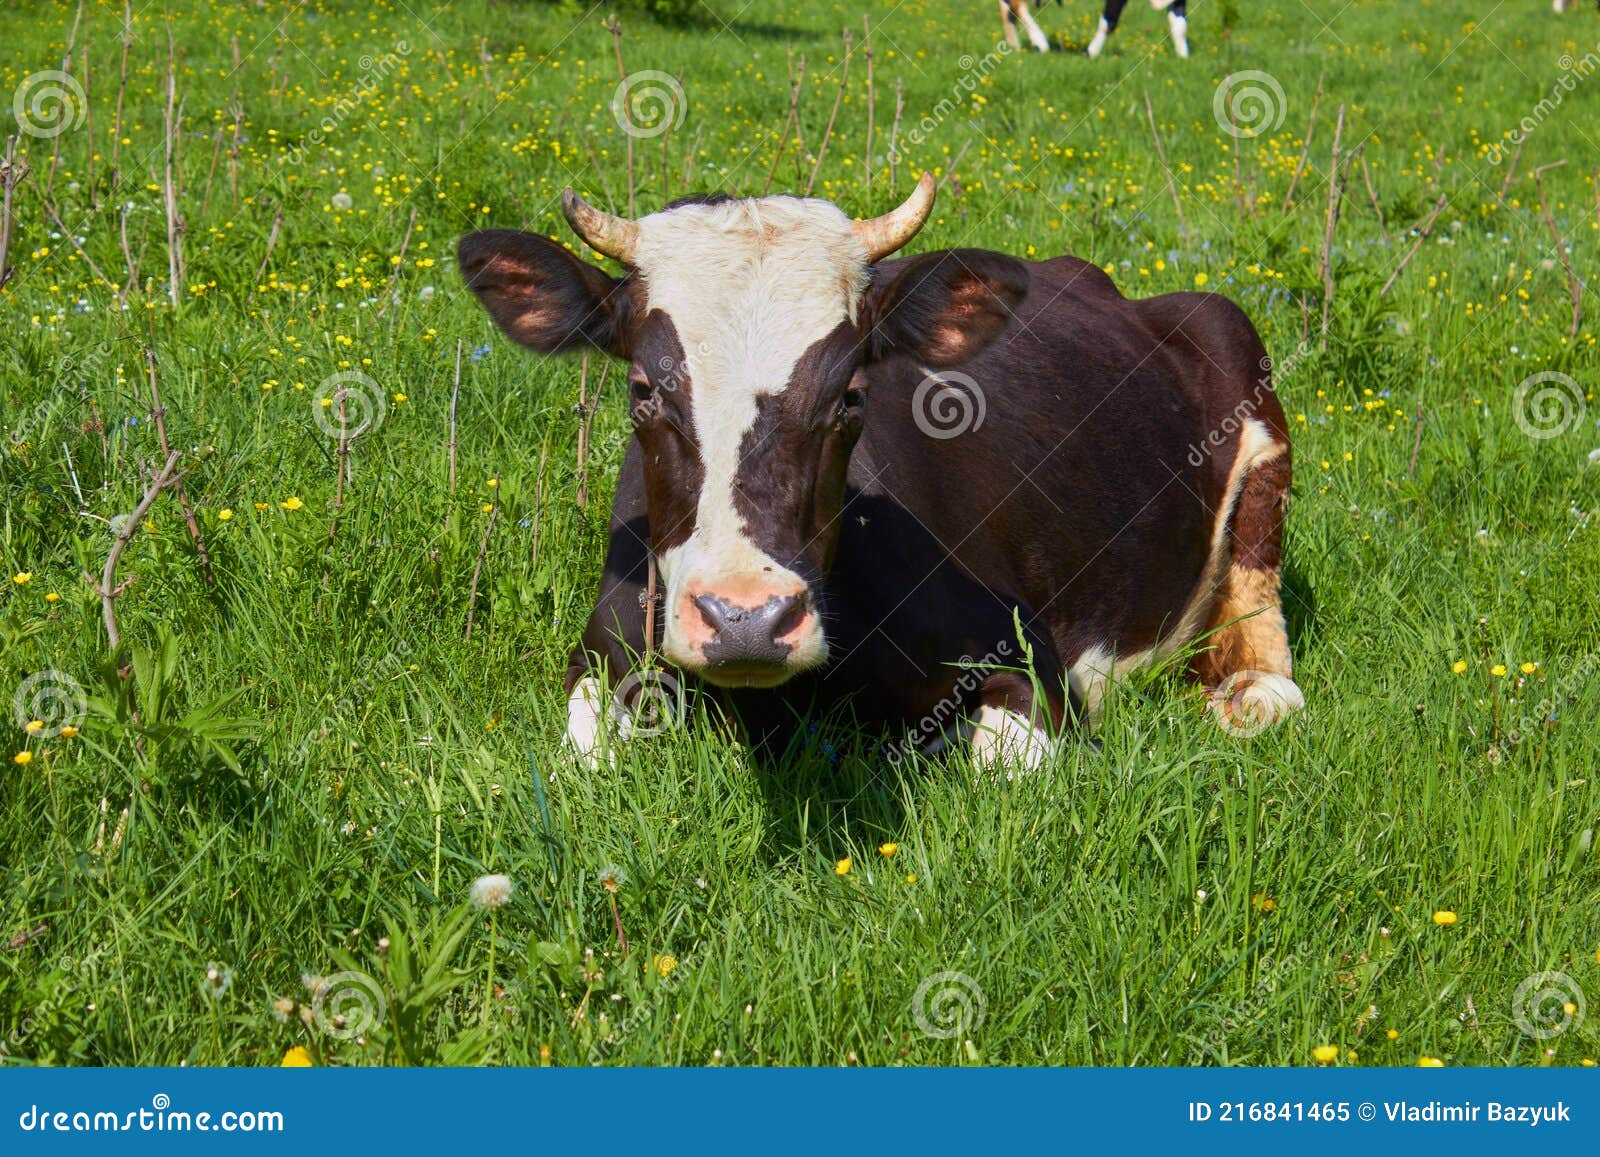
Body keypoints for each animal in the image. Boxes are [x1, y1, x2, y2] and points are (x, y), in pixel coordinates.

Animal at [458, 175, 1304, 771]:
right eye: (643, 388)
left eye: (851, 392)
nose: (746, 619)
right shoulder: (604, 648)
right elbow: (586, 751)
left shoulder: (1030, 662)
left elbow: (998, 757)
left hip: (1246, 384)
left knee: (1271, 664)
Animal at [999, 0, 1190, 59]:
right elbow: (1110, 21)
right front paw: (1091, 53)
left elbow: (1180, 25)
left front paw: (1183, 57)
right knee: (1016, 5)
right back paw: (1039, 42)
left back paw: (1014, 45)